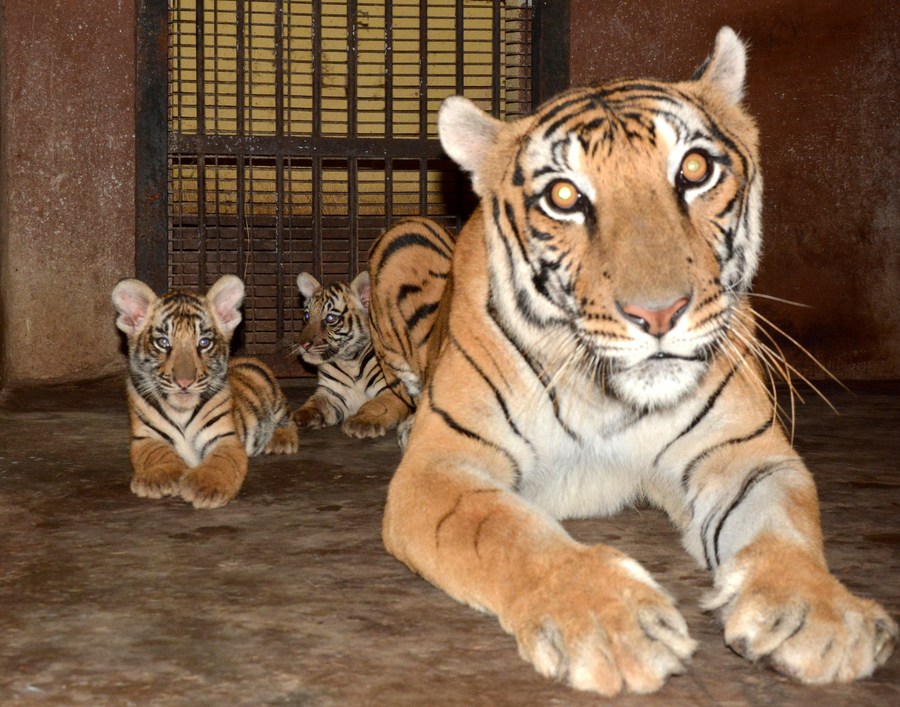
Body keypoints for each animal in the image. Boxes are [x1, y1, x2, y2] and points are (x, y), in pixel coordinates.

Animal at [112, 275, 298, 509]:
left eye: (204, 343)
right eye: (163, 343)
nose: (184, 382)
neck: (180, 411)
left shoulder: (224, 437)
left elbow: (222, 462)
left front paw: (206, 487)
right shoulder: (145, 437)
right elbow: (157, 454)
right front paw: (158, 477)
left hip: (266, 384)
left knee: (288, 418)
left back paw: (281, 440)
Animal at [293, 270, 409, 438]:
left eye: (330, 318)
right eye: (307, 316)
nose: (303, 344)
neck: (349, 360)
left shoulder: (392, 390)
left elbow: (376, 405)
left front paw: (361, 422)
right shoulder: (332, 393)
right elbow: (315, 401)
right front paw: (301, 416)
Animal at [368, 27, 897, 696]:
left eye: (694, 169)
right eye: (564, 196)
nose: (659, 313)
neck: (605, 395)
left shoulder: (743, 454)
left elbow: (785, 531)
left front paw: (818, 614)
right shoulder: (441, 468)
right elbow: (509, 533)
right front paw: (609, 623)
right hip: (400, 244)